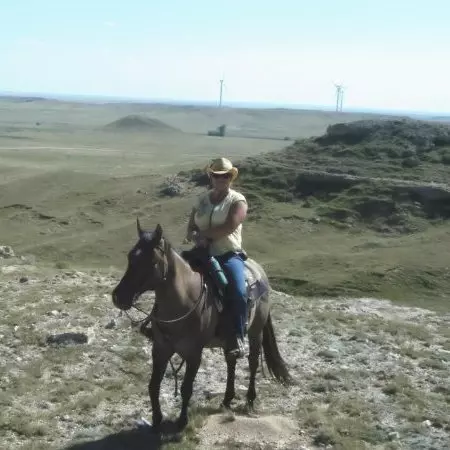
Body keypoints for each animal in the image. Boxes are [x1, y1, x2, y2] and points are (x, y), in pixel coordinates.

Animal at [110, 221, 290, 432]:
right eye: (130, 256)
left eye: (152, 261)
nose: (119, 297)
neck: (183, 300)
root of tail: (260, 272)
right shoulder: (161, 349)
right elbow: (153, 385)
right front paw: (156, 420)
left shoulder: (194, 353)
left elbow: (186, 388)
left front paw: (182, 422)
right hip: (229, 339)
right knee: (231, 362)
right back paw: (227, 400)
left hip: (255, 331)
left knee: (253, 363)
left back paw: (250, 400)